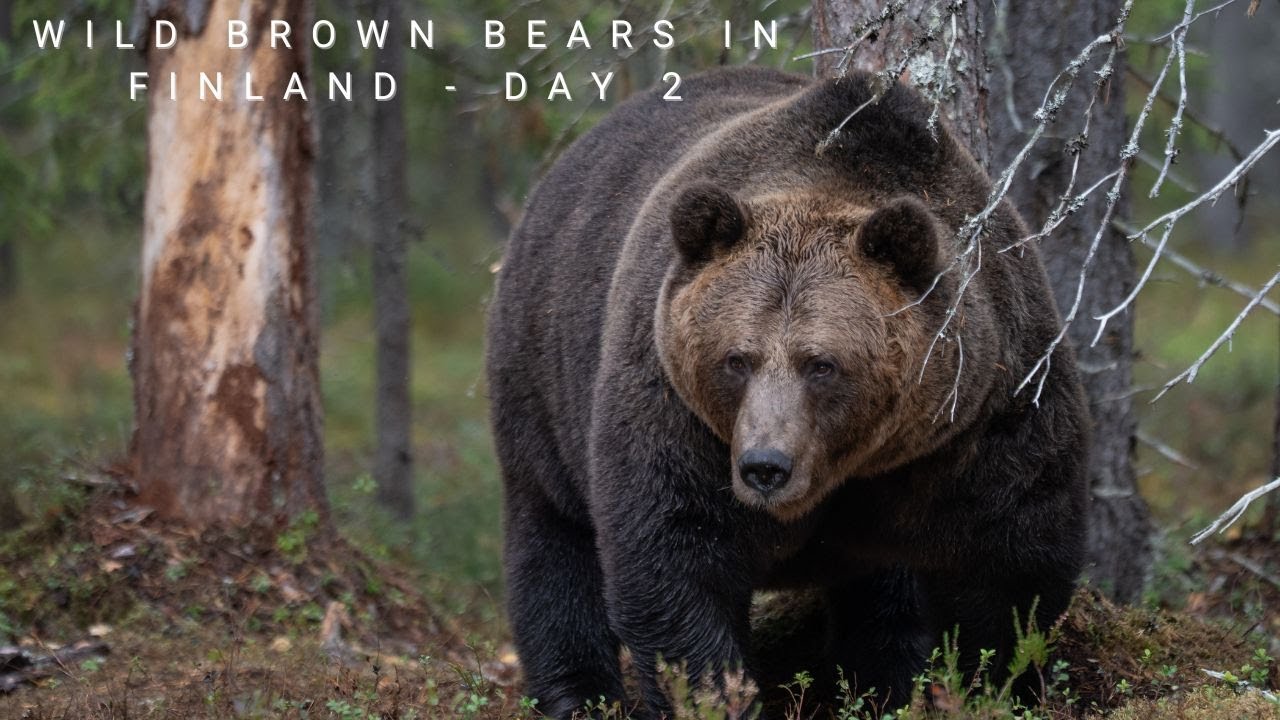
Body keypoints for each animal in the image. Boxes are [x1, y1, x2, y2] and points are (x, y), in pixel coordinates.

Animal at [486, 66, 1089, 718]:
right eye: (736, 359)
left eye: (821, 364)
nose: (764, 467)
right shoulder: (675, 412)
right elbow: (673, 560)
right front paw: (718, 694)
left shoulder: (986, 408)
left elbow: (1011, 565)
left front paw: (986, 685)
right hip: (542, 370)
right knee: (555, 540)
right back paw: (579, 695)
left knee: (884, 595)